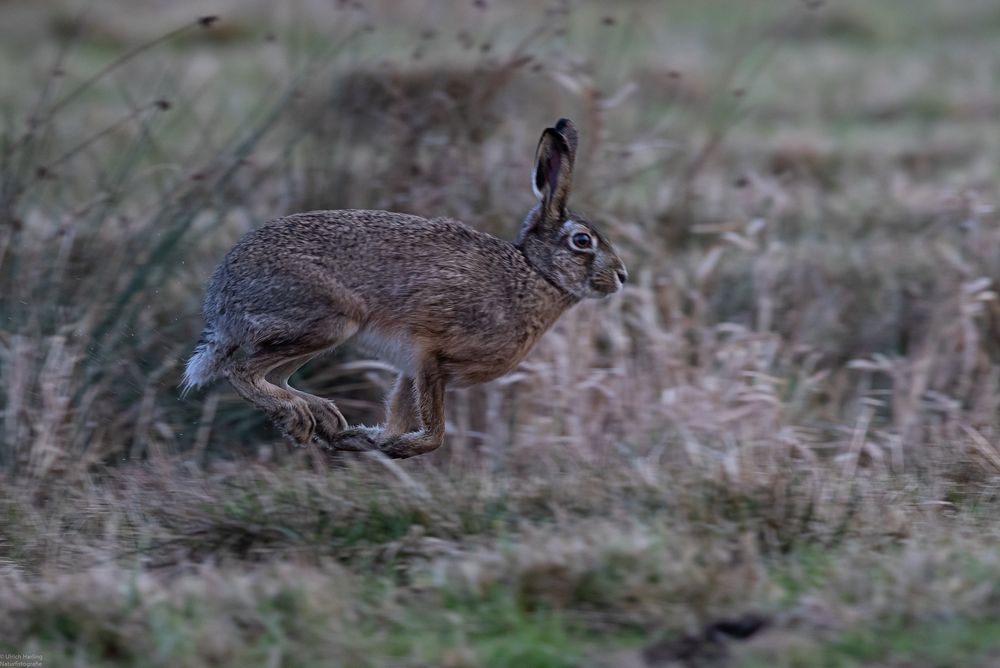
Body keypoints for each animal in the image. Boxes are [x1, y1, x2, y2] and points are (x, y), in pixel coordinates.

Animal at [182, 118, 627, 459]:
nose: (622, 276)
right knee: (240, 370)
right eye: (582, 241)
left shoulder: (411, 369)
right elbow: (434, 433)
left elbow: (398, 412)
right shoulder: (432, 357)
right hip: (327, 319)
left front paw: (366, 441)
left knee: (271, 373)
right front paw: (394, 448)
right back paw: (301, 416)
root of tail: (221, 300)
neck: (535, 273)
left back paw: (322, 419)